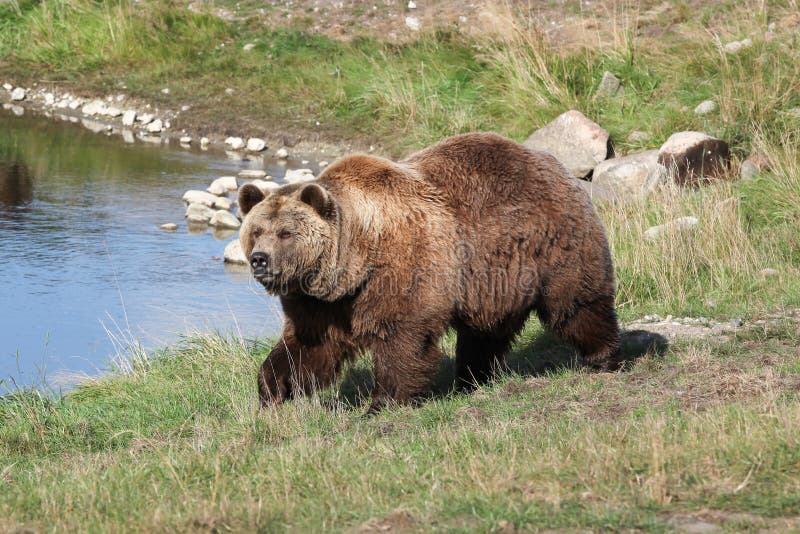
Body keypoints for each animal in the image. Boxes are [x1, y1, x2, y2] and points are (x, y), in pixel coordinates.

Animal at [238, 132, 620, 413]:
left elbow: (402, 337)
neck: (352, 263)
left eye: (286, 233)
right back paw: (472, 377)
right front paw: (271, 388)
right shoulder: (320, 302)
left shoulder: (403, 268)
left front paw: (383, 402)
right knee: (485, 331)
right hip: (493, 279)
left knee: (577, 303)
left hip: (554, 245)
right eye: (256, 230)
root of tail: (554, 164)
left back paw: (603, 356)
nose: (259, 259)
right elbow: (307, 347)